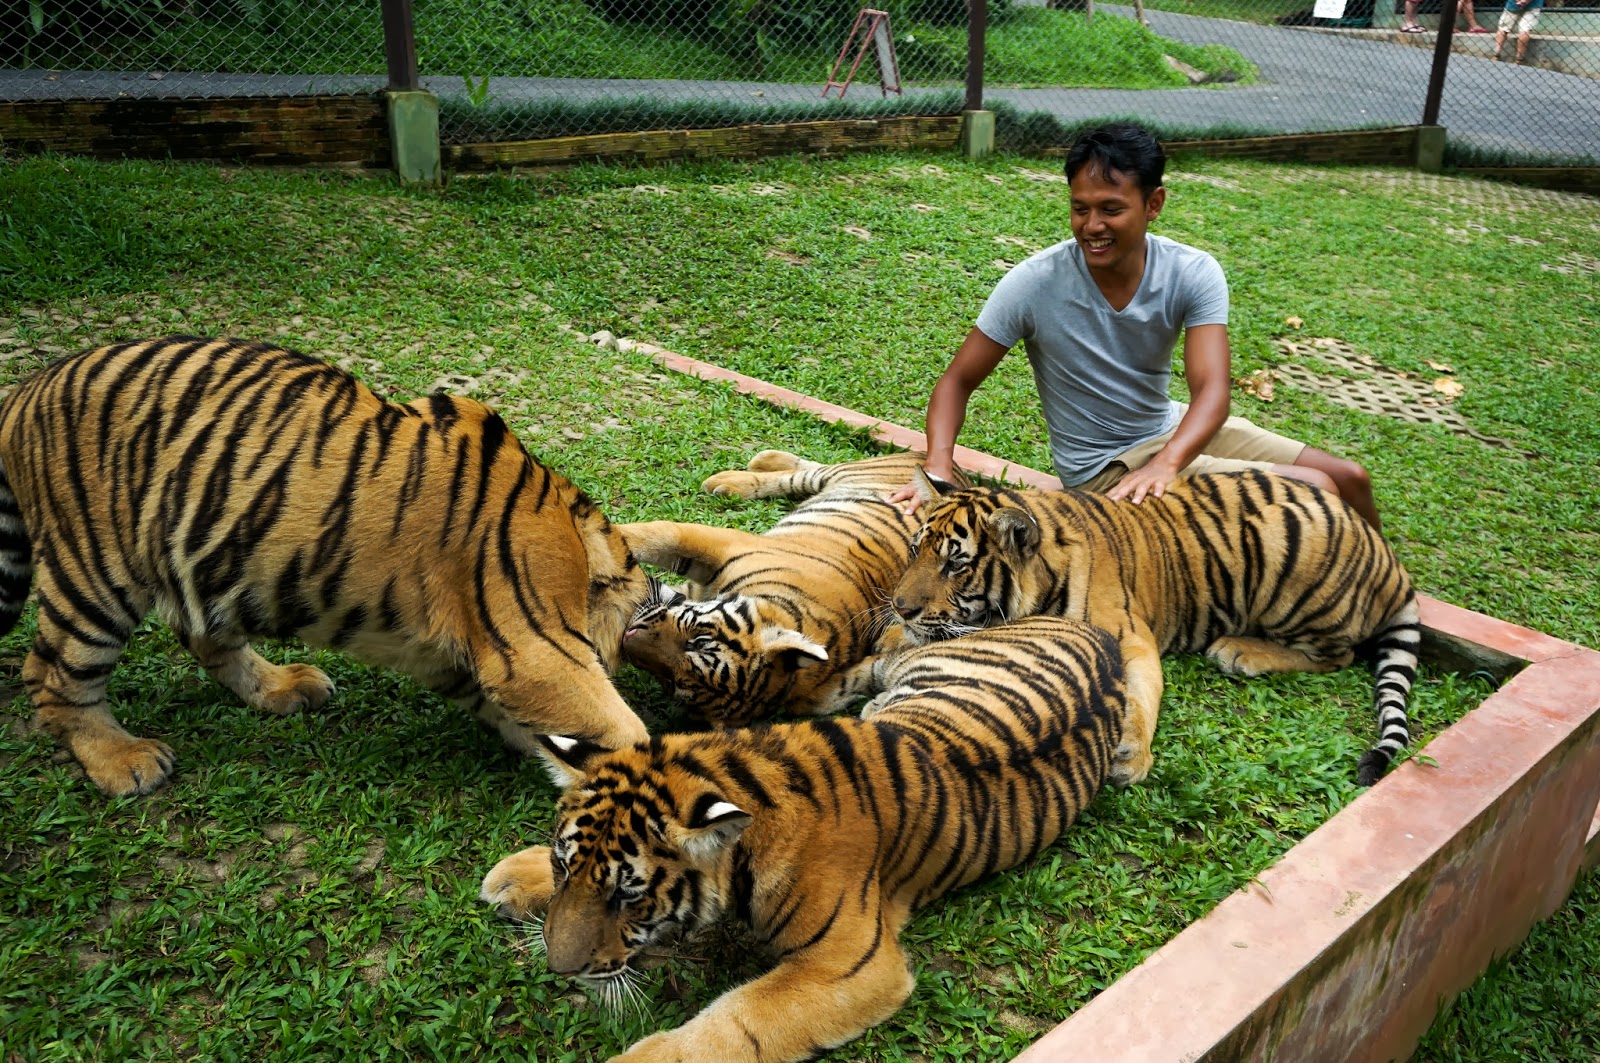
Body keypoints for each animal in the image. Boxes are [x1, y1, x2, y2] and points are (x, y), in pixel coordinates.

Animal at [0, 335, 653, 797]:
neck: (583, 542)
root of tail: (25, 388)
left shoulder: (466, 657)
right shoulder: (535, 649)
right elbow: (620, 730)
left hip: (207, 561)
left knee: (202, 635)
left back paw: (281, 688)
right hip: (95, 572)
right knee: (51, 675)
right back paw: (123, 761)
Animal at [479, 614, 1124, 1063]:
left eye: (629, 897)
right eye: (565, 868)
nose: (560, 971)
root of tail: (1103, 637)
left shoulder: (850, 963)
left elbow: (736, 1022)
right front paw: (514, 876)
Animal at [617, 449, 970, 727]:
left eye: (672, 683)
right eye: (699, 640)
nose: (626, 639)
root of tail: (958, 474)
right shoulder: (722, 544)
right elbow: (649, 534)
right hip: (848, 476)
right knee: (807, 471)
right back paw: (743, 472)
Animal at [892, 468, 1422, 788]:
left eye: (956, 565)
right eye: (915, 550)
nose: (899, 607)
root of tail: (1389, 559)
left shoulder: (1131, 635)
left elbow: (1142, 690)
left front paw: (1129, 753)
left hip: (1287, 552)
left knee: (1339, 654)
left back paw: (1240, 651)